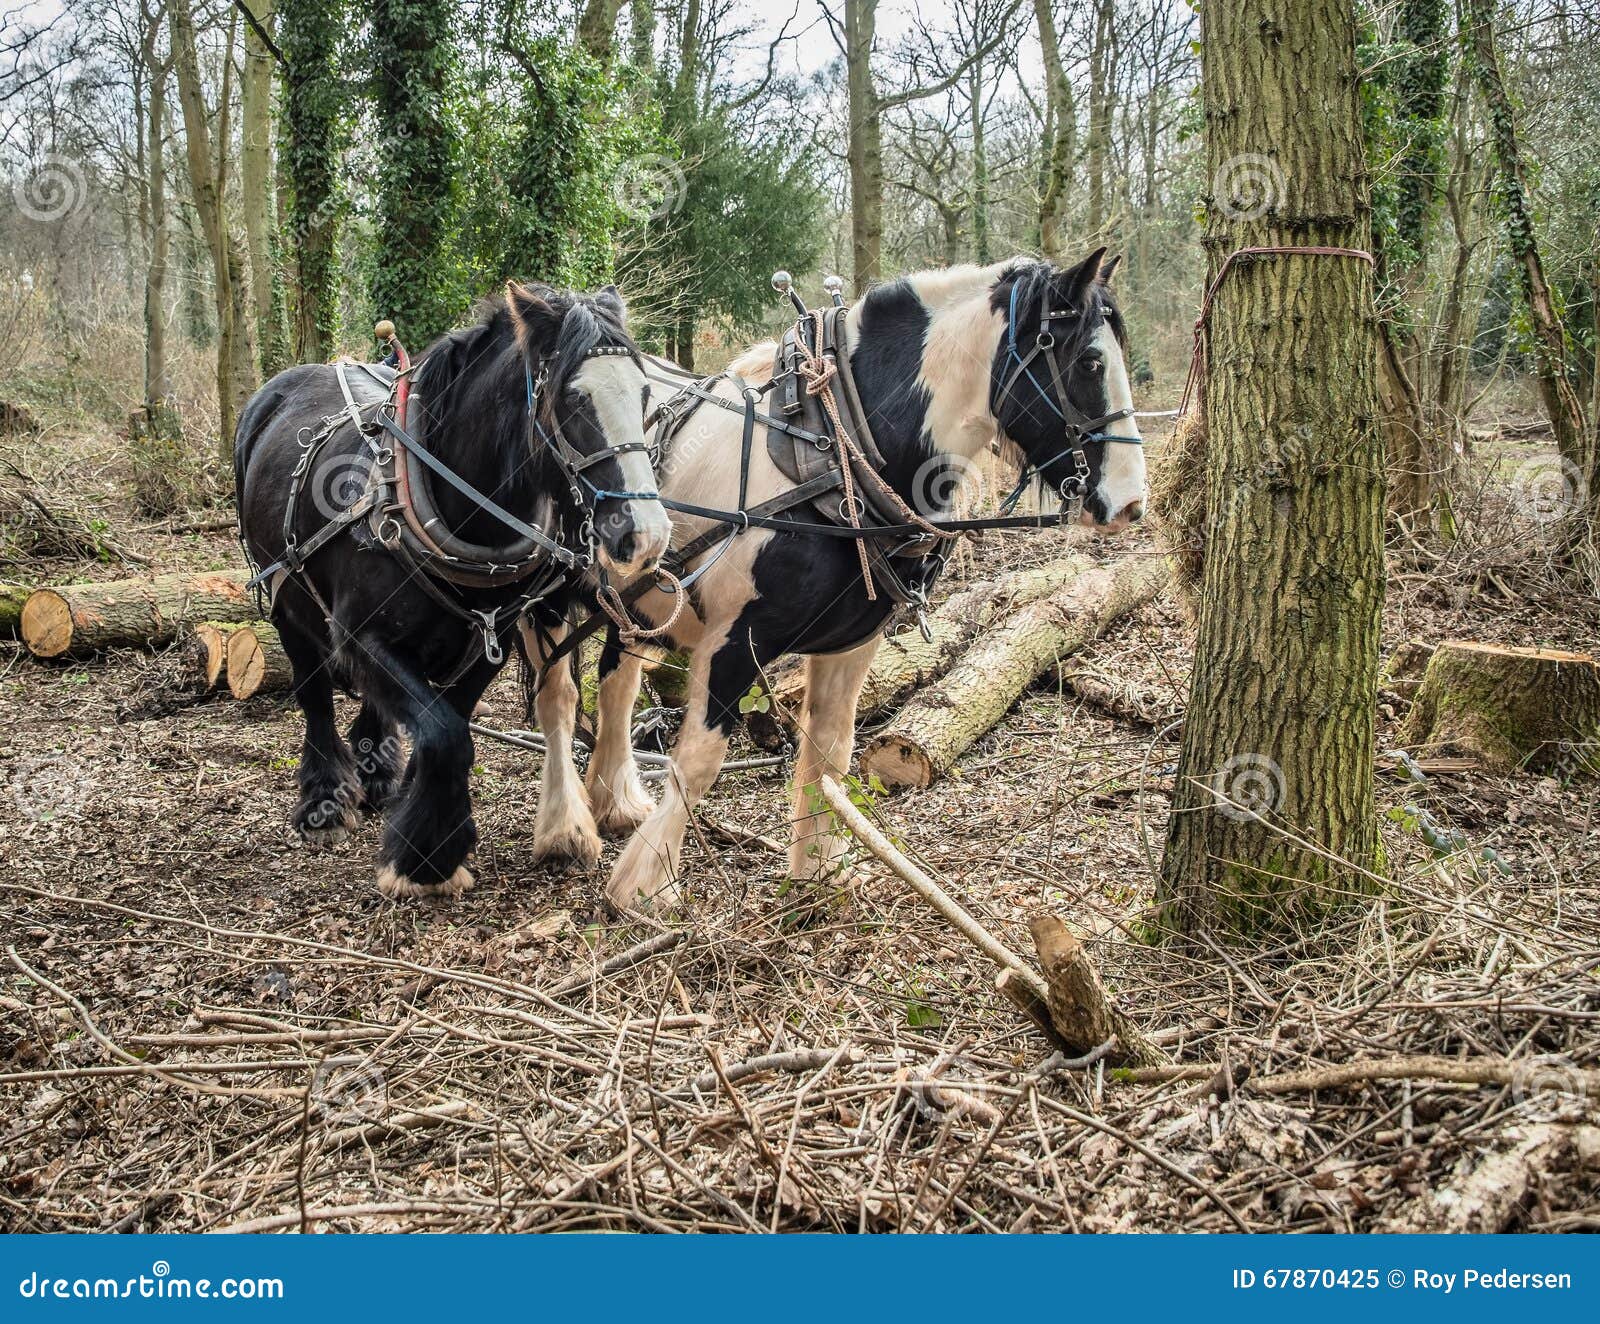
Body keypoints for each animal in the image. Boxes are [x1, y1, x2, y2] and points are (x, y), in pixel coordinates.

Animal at [235, 283, 671, 899]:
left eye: (645, 391)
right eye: (573, 399)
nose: (646, 533)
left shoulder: (491, 640)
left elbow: (450, 726)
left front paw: (418, 827)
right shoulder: (359, 636)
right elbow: (445, 735)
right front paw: (426, 859)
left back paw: (377, 774)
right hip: (284, 598)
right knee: (314, 691)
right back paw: (324, 799)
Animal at [531, 248, 1147, 909]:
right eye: (1089, 361)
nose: (1131, 502)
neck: (836, 446)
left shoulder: (855, 639)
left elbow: (830, 751)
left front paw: (818, 871)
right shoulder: (736, 638)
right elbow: (699, 758)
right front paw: (645, 884)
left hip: (636, 602)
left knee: (616, 684)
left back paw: (614, 800)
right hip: (543, 601)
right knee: (558, 700)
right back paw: (566, 827)